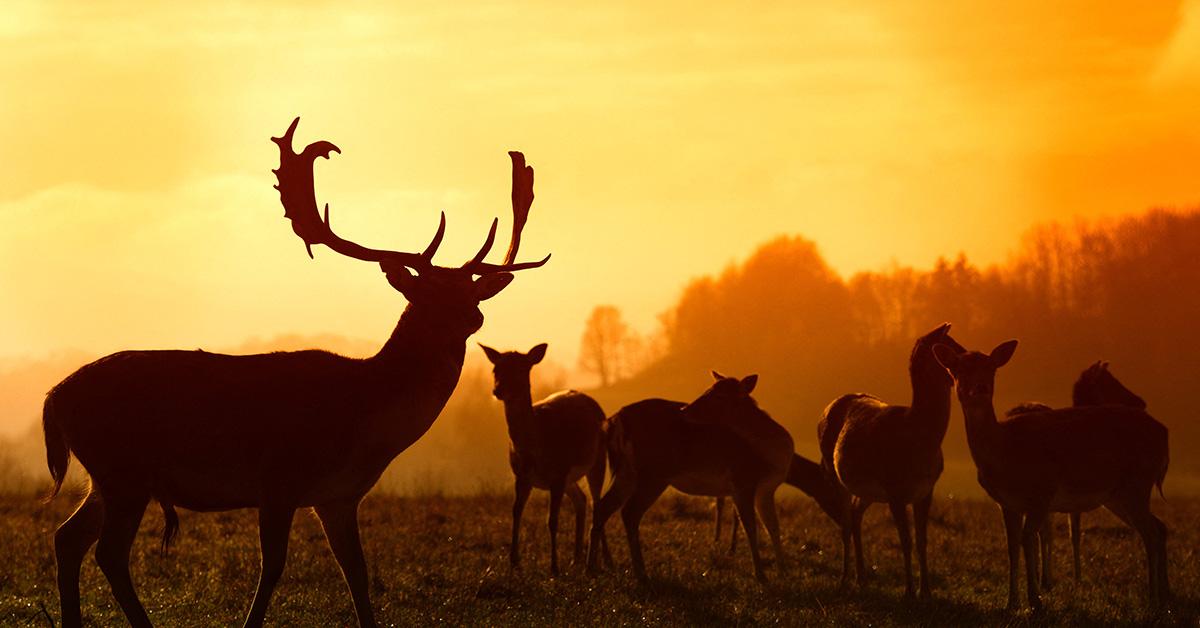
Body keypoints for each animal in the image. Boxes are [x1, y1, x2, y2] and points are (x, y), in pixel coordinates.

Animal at [41, 117, 549, 628]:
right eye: (426, 292)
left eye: (471, 291)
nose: (472, 317)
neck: (365, 416)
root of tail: (53, 397)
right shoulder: (279, 478)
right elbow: (273, 568)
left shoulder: (339, 496)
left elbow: (357, 572)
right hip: (123, 470)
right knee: (107, 552)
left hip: (107, 476)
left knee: (67, 538)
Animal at [478, 343, 611, 575]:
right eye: (496, 369)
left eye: (522, 369)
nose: (498, 390)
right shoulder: (522, 476)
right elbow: (516, 512)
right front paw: (514, 562)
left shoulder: (558, 473)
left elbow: (552, 520)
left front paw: (554, 567)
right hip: (570, 477)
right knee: (581, 499)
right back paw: (576, 559)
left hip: (597, 460)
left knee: (597, 503)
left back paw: (599, 561)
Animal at [587, 372, 794, 583]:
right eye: (708, 389)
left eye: (719, 395)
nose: (684, 409)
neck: (772, 456)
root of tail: (616, 420)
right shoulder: (741, 480)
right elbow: (751, 528)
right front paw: (761, 576)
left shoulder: (765, 489)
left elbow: (773, 526)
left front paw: (783, 572)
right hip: (654, 472)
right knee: (629, 512)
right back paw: (640, 573)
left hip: (628, 471)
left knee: (602, 507)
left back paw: (591, 569)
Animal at [817, 323, 966, 600]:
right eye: (951, 348)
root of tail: (825, 410)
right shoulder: (895, 490)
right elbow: (905, 541)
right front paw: (908, 592)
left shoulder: (926, 490)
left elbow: (922, 540)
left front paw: (926, 592)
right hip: (833, 471)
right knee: (845, 521)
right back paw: (844, 579)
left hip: (868, 490)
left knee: (855, 514)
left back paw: (862, 577)